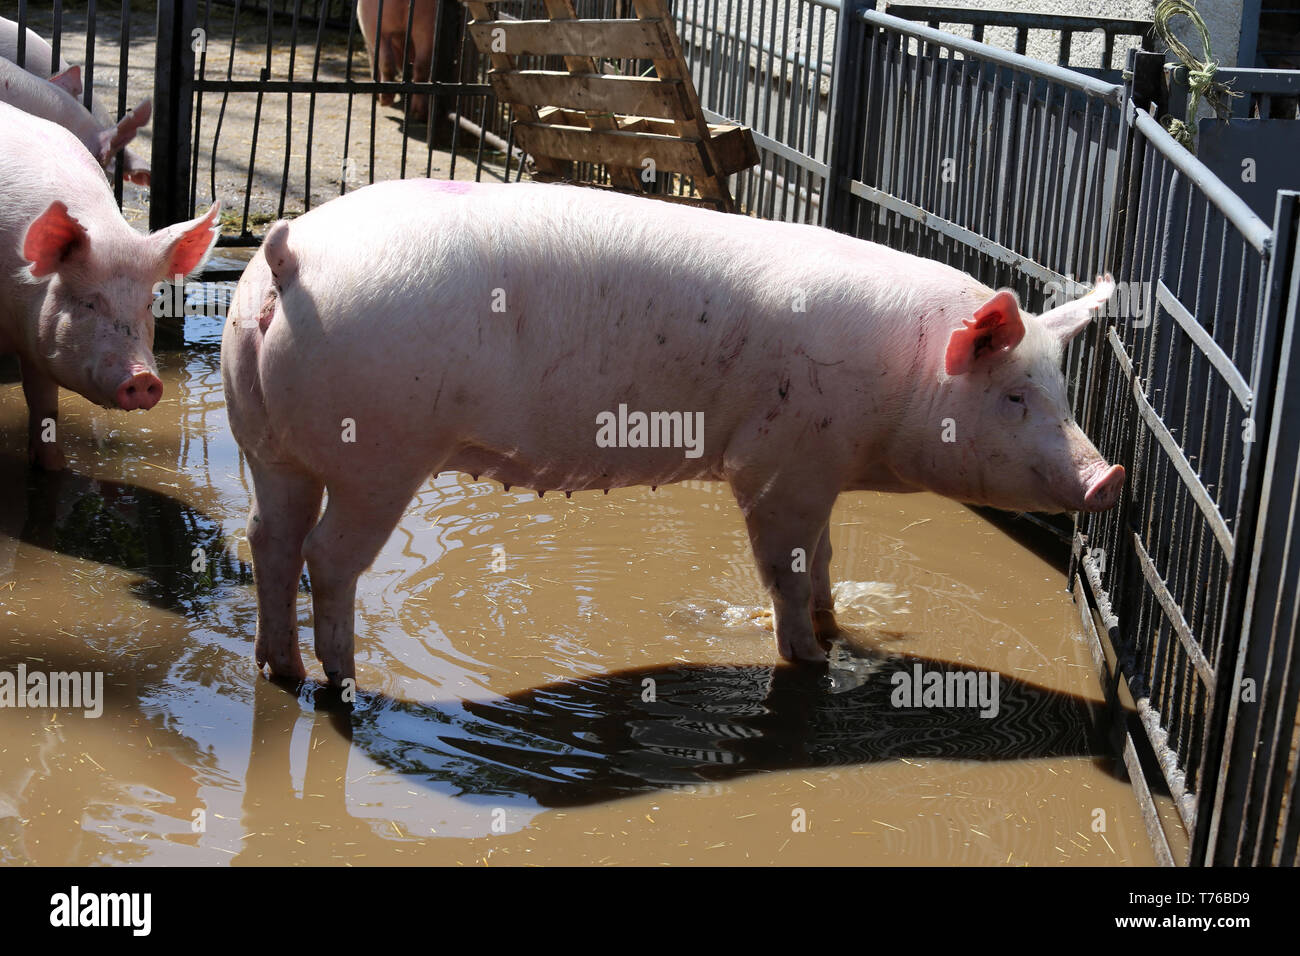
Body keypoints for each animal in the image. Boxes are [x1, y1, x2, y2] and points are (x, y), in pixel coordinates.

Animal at [0, 102, 220, 470]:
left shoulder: (34, 344)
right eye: (88, 302)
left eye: (148, 303)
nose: (142, 378)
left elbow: (45, 408)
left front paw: (55, 466)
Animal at [221, 179, 1125, 686]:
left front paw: (842, 630)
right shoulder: (779, 461)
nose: (1110, 477)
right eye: (1014, 396)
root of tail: (289, 255)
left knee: (269, 535)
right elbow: (786, 565)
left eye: (1061, 391)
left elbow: (827, 556)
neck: (901, 375)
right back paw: (344, 682)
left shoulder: (820, 466)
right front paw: (812, 659)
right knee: (329, 556)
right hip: (381, 451)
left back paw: (279, 666)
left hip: (263, 438)